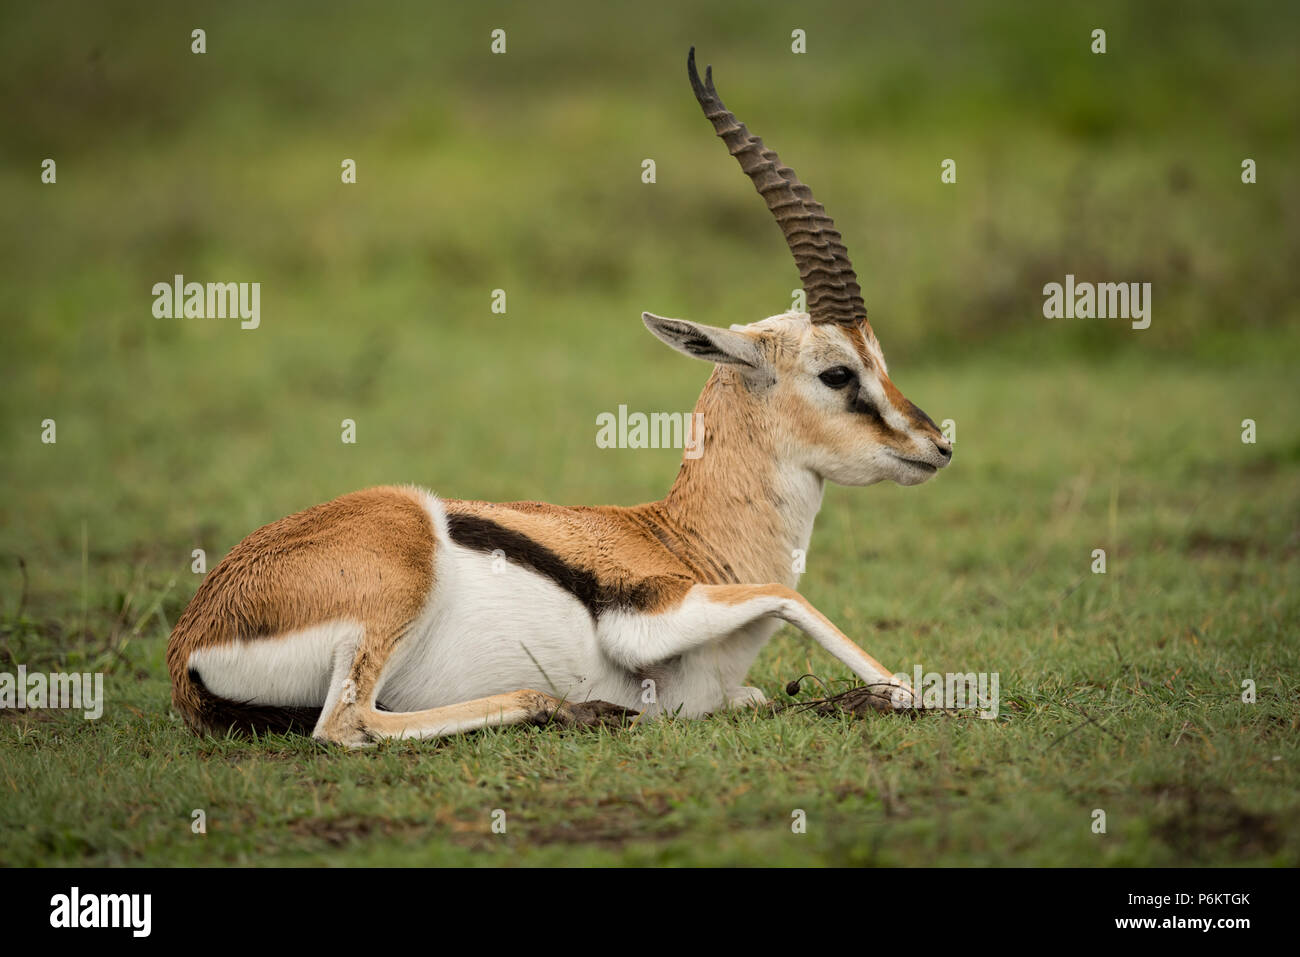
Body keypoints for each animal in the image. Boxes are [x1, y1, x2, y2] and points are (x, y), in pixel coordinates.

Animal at [166, 49, 952, 747]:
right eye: (838, 373)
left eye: (880, 359)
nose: (938, 444)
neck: (690, 541)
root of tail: (192, 637)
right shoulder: (648, 620)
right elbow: (794, 599)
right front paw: (923, 694)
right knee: (346, 725)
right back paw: (568, 708)